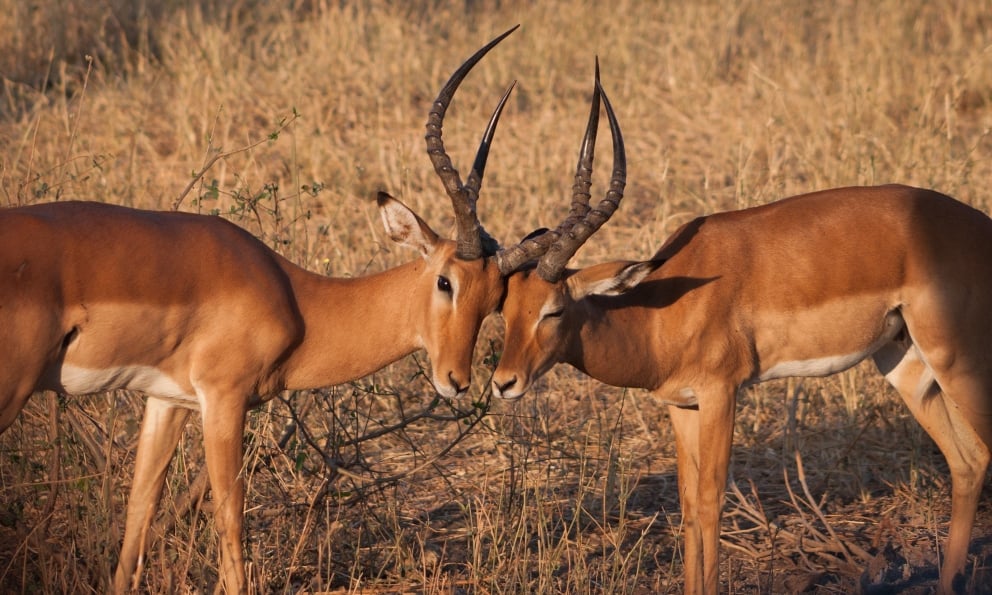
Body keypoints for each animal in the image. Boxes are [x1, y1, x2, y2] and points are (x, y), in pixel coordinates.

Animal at [0, 25, 558, 593]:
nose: (457, 380)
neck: (295, 297)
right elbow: (230, 516)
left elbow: (139, 514)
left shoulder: (166, 400)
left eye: (494, 301)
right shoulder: (224, 399)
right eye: (446, 281)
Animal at [491, 153, 992, 590]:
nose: (503, 383)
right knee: (968, 461)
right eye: (506, 309)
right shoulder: (682, 405)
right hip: (905, 366)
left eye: (553, 310)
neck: (658, 314)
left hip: (959, 361)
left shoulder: (721, 393)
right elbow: (688, 502)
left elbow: (711, 499)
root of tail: (980, 225)